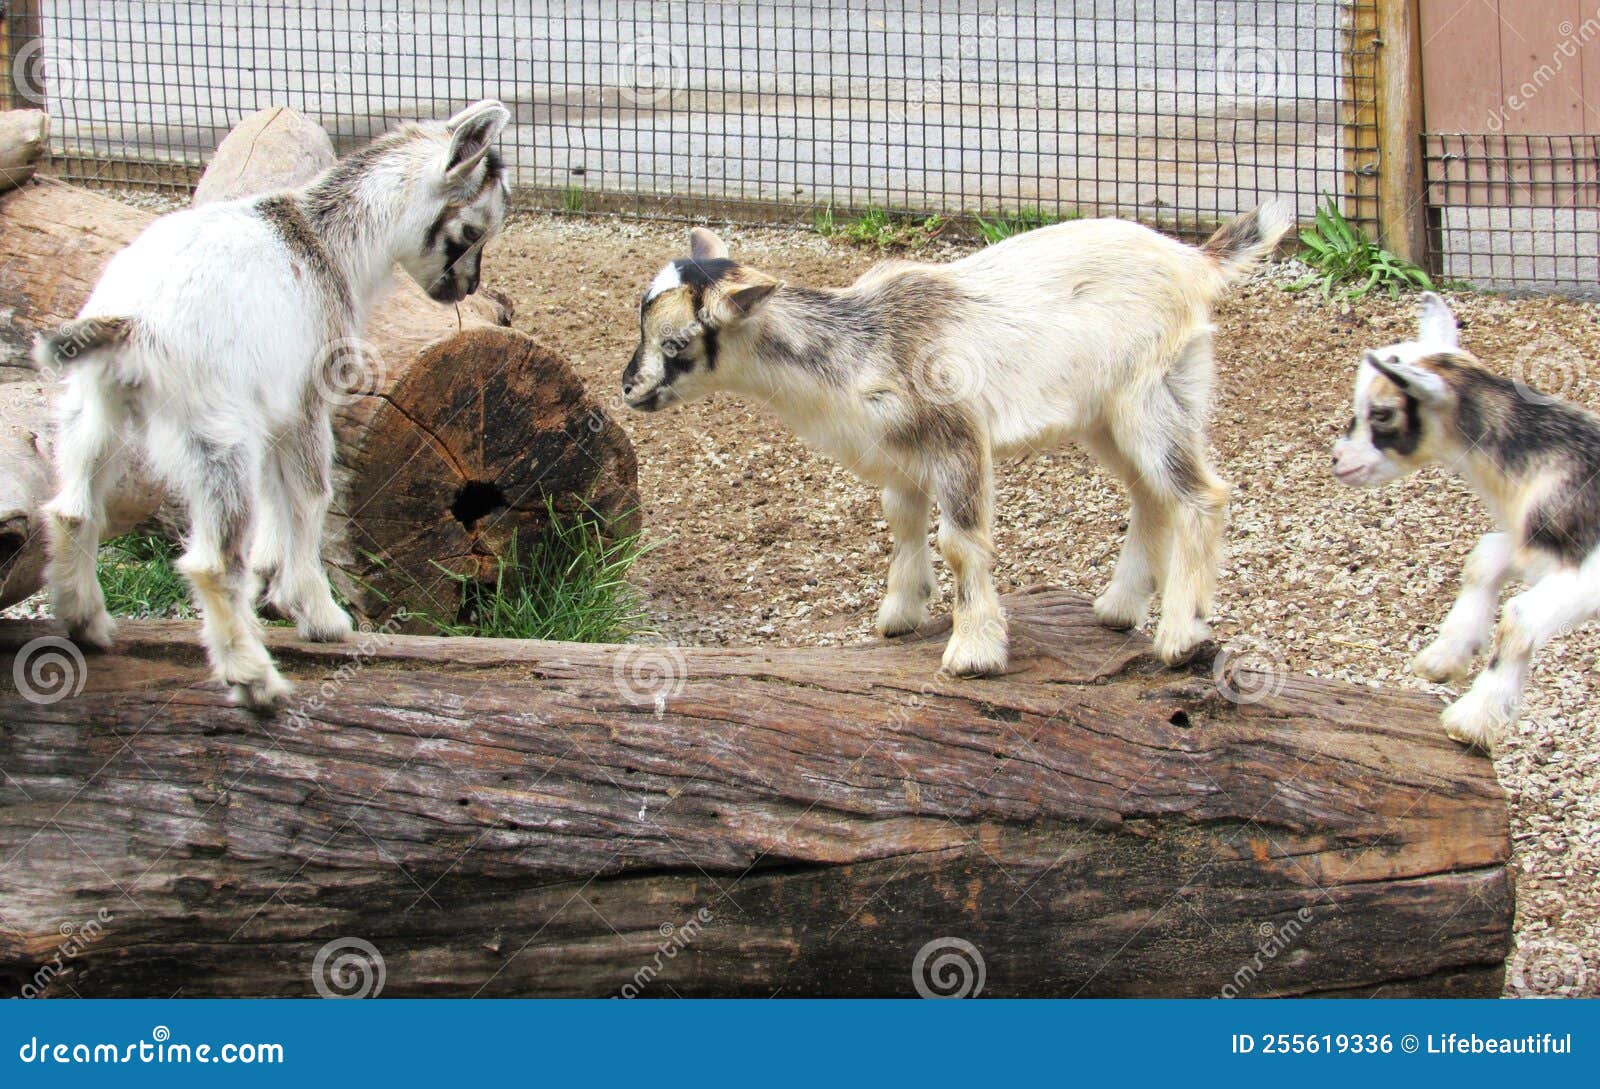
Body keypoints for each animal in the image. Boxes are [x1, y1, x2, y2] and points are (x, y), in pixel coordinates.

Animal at [36, 100, 512, 710]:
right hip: (215, 433)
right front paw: (319, 614)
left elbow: (274, 493)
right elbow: (310, 498)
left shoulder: (268, 403)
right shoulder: (306, 398)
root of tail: (133, 322)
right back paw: (251, 675)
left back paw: (88, 624)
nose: (466, 288)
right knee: (211, 561)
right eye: (473, 230)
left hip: (94, 409)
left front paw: (272, 578)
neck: (323, 238)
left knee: (72, 509)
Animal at [621, 208, 1288, 675]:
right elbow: (902, 524)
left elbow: (961, 543)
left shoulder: (957, 438)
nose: (629, 389)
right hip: (1107, 414)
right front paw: (900, 614)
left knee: (1200, 493)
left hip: (1150, 392)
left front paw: (974, 651)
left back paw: (1179, 636)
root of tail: (1194, 261)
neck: (860, 345)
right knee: (1150, 494)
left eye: (676, 342)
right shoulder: (900, 456)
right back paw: (1119, 609)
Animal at [1332, 292, 1600, 750]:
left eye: (1381, 413)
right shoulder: (1534, 551)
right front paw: (1446, 656)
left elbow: (1518, 618)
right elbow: (1484, 559)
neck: (1557, 457)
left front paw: (1472, 718)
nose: (1338, 460)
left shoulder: (1588, 575)